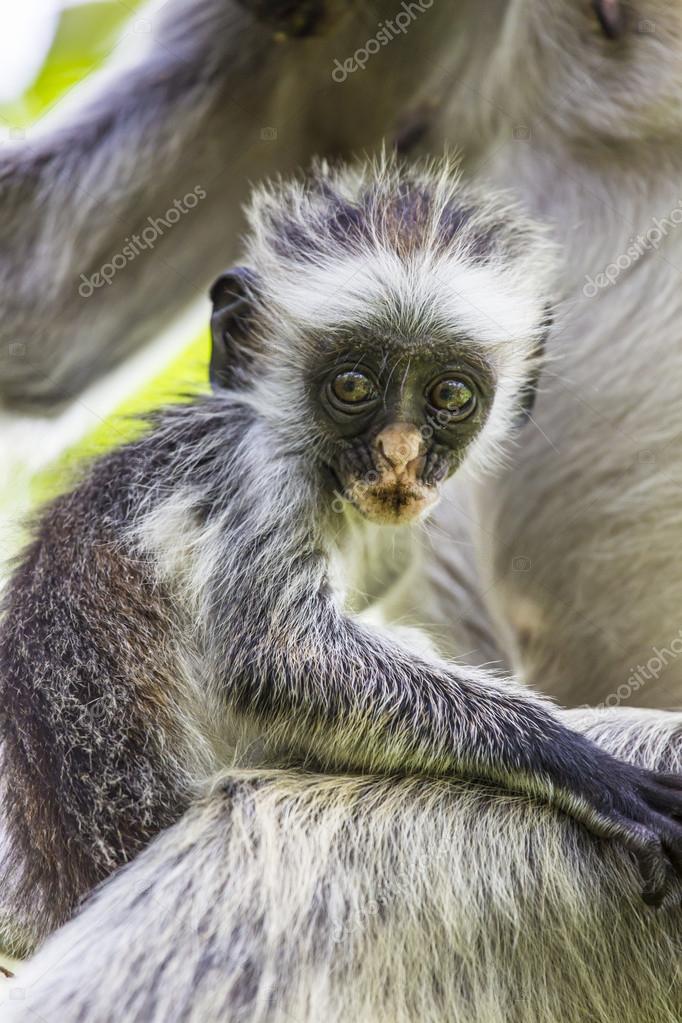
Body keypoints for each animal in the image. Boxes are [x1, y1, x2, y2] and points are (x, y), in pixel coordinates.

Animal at [2, 1, 682, 1021]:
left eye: (450, 396)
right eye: (353, 386)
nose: (398, 455)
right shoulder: (263, 472)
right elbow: (278, 660)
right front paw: (571, 756)